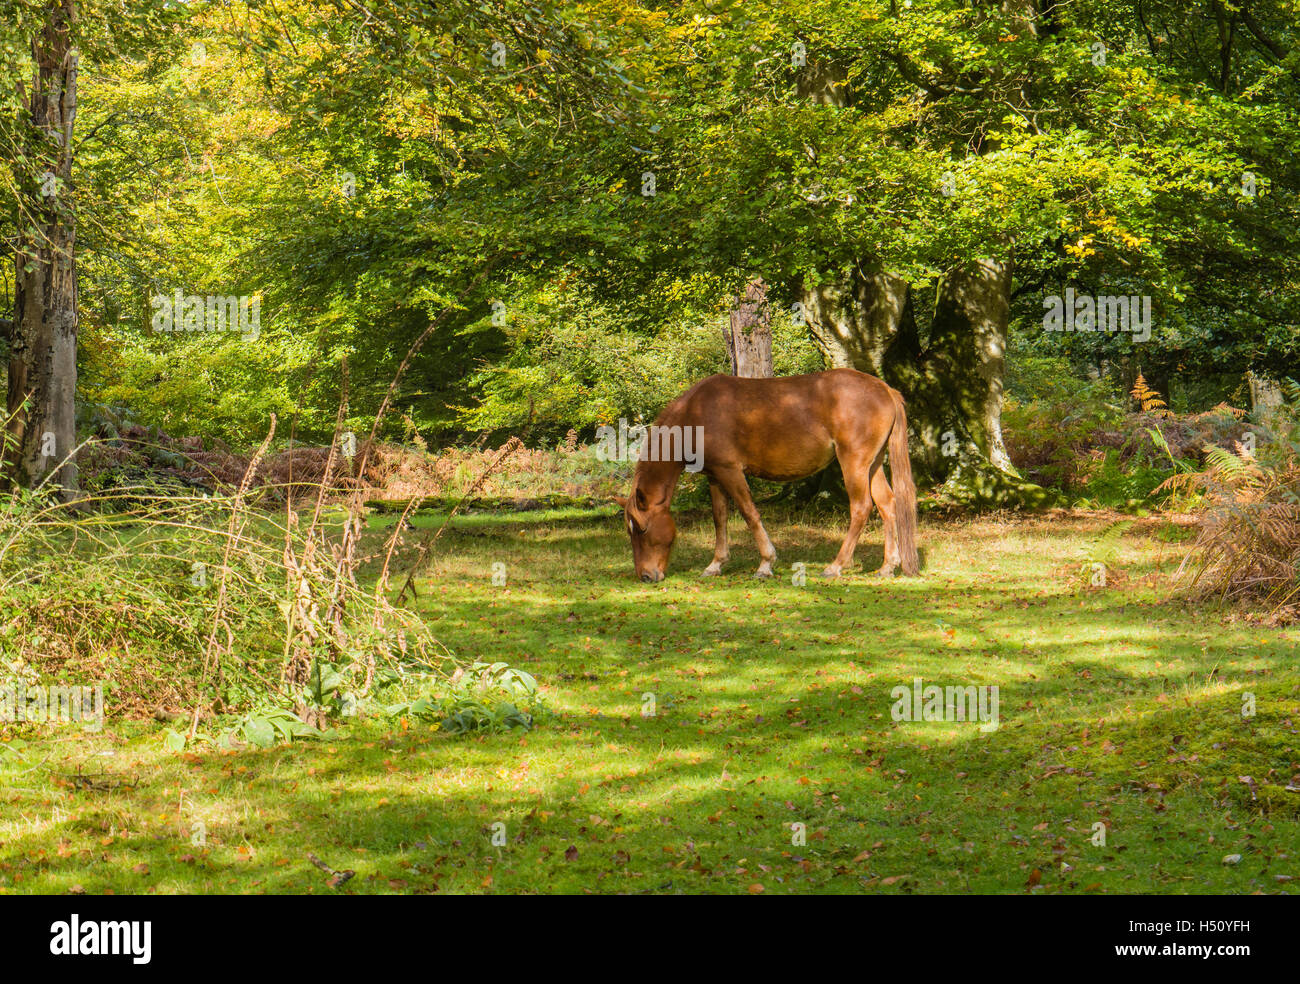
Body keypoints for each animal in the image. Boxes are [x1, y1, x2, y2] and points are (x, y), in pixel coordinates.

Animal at [614, 368, 919, 582]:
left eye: (641, 528)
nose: (645, 576)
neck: (697, 412)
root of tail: (885, 389)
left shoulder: (730, 471)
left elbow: (750, 514)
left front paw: (765, 564)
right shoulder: (714, 475)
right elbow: (719, 518)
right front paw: (715, 564)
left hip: (853, 464)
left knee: (861, 507)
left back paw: (836, 566)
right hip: (873, 464)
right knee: (887, 504)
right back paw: (887, 567)